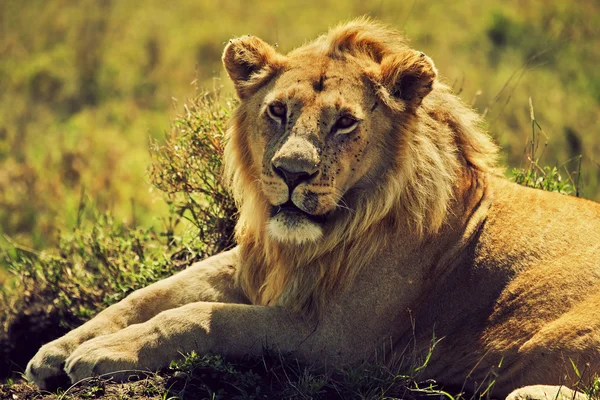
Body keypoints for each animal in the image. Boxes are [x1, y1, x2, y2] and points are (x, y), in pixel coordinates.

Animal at [24, 19, 600, 400]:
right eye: (278, 110)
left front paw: (102, 355)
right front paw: (57, 349)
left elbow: (203, 318)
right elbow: (152, 294)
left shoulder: (339, 344)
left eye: (344, 122)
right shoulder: (258, 263)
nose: (291, 172)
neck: (323, 237)